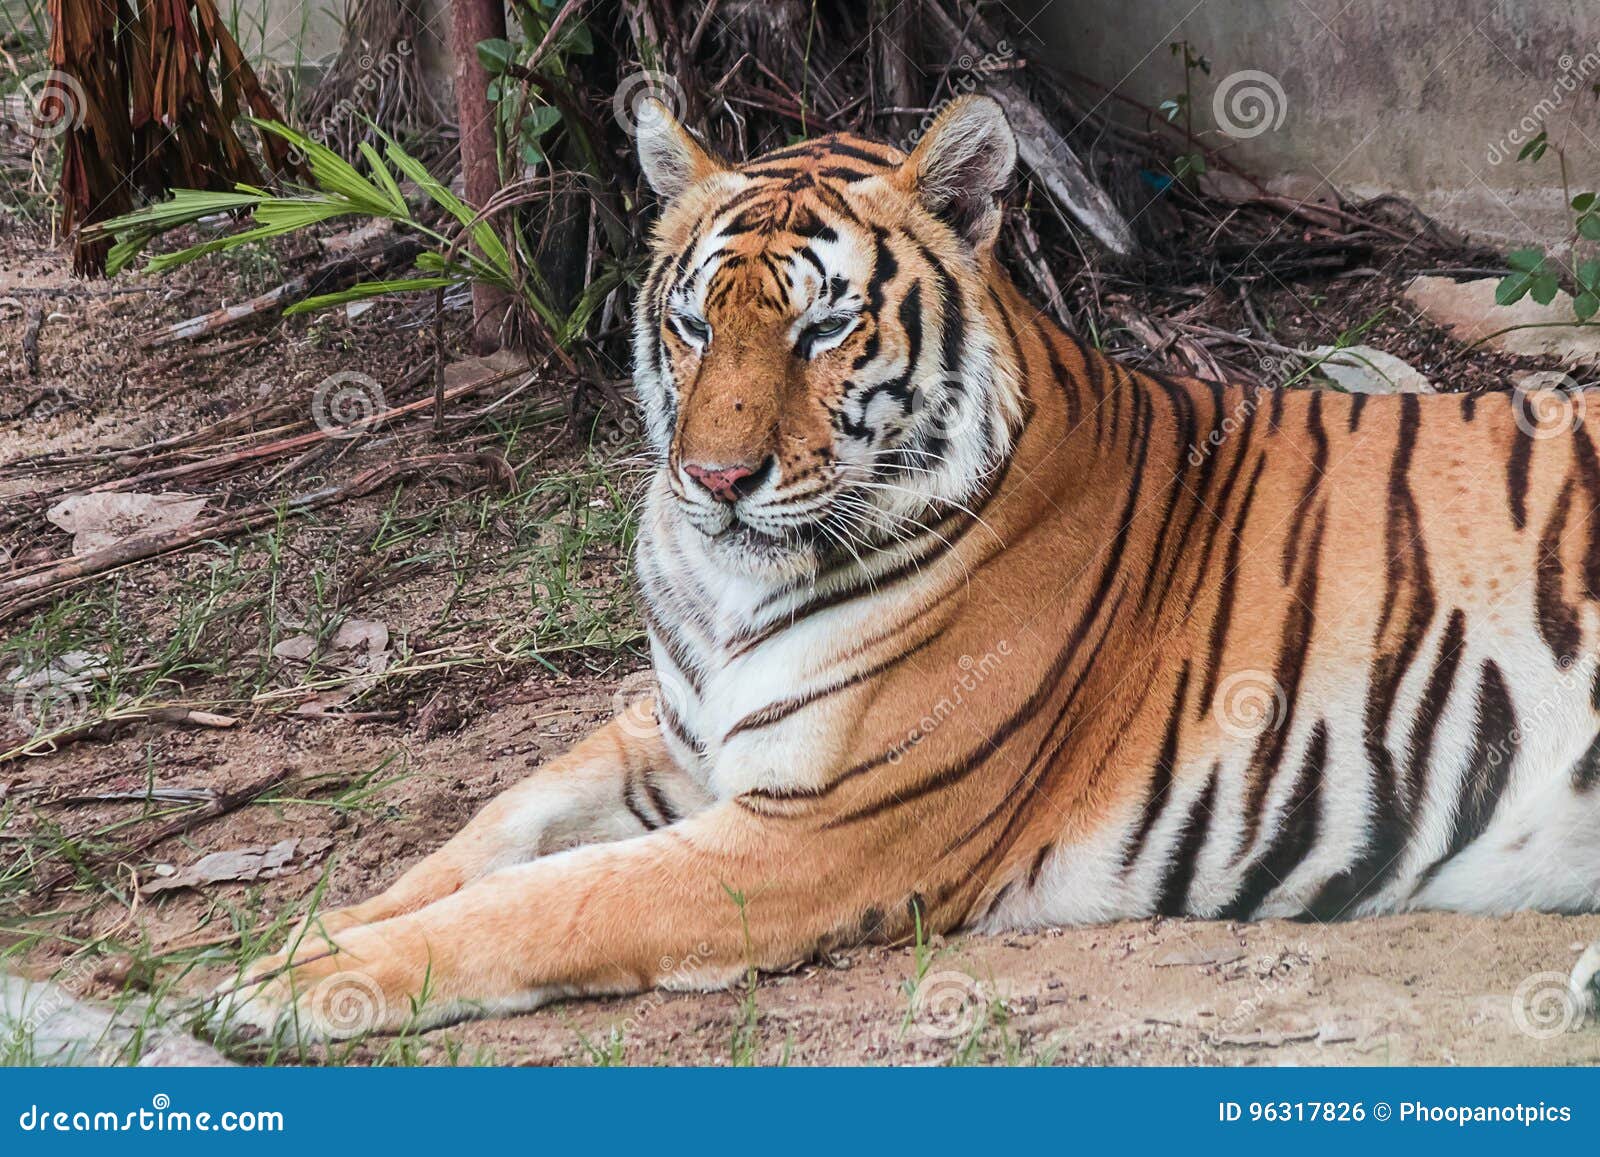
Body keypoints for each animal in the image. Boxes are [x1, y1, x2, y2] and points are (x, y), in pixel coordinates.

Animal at [220, 94, 1600, 1040]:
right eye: (691, 321)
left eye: (823, 327)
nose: (714, 479)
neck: (724, 587)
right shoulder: (671, 738)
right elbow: (485, 831)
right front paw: (283, 938)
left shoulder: (813, 831)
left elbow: (549, 899)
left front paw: (298, 985)